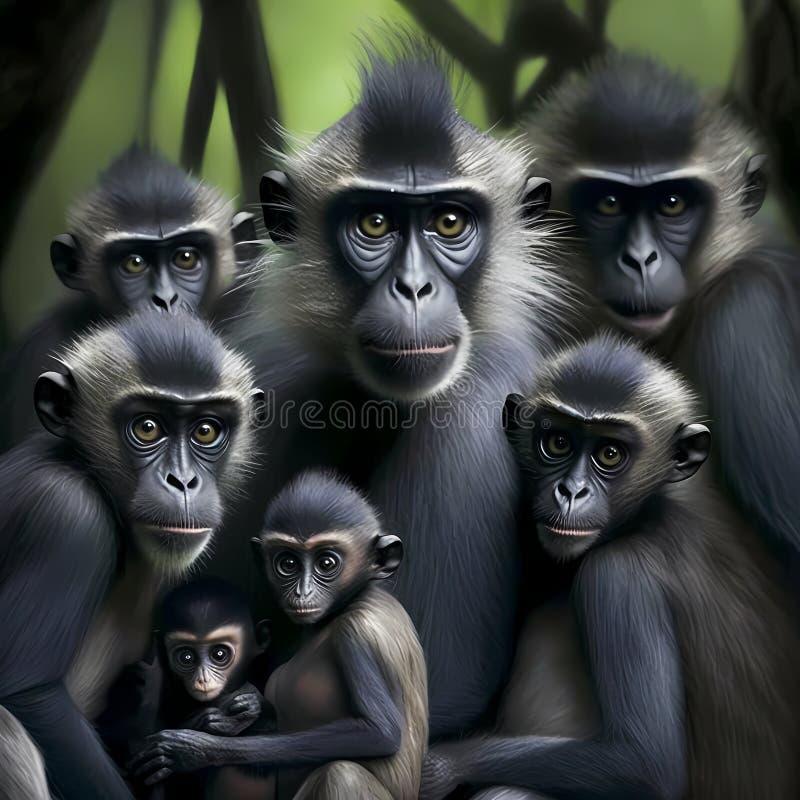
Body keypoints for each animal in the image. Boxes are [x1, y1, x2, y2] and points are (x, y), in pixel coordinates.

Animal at [129, 470, 428, 800]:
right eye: (288, 563)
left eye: (326, 563)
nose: (302, 592)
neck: (356, 599)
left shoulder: (357, 634)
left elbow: (379, 733)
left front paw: (195, 748)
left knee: (342, 773)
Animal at [217, 33, 572, 740]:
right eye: (375, 224)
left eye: (450, 223)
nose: (413, 288)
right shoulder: (275, 374)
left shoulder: (474, 410)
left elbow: (441, 699)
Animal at [420, 334, 800, 800]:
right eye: (558, 443)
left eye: (610, 453)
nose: (571, 491)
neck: (647, 513)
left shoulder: (618, 580)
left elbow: (643, 762)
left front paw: (442, 767)